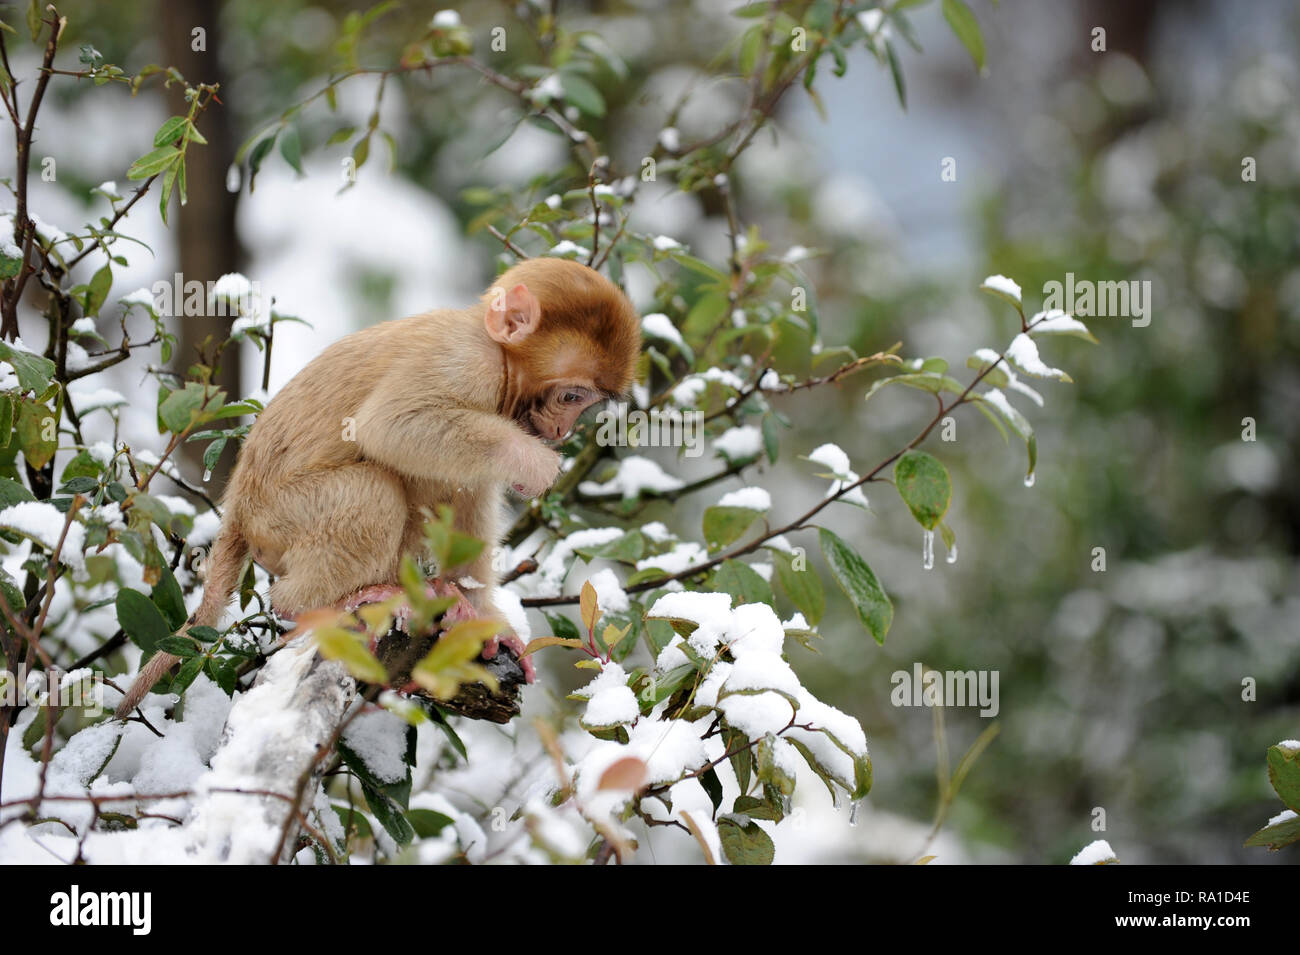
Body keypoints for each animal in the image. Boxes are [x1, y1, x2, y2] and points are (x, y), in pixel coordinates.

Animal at [114, 258, 642, 719]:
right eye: (571, 396)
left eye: (583, 404)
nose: (563, 431)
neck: (497, 353)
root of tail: (237, 509)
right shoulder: (469, 364)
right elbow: (389, 426)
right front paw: (533, 461)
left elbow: (469, 491)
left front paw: (485, 616)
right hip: (277, 515)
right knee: (373, 489)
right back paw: (318, 604)